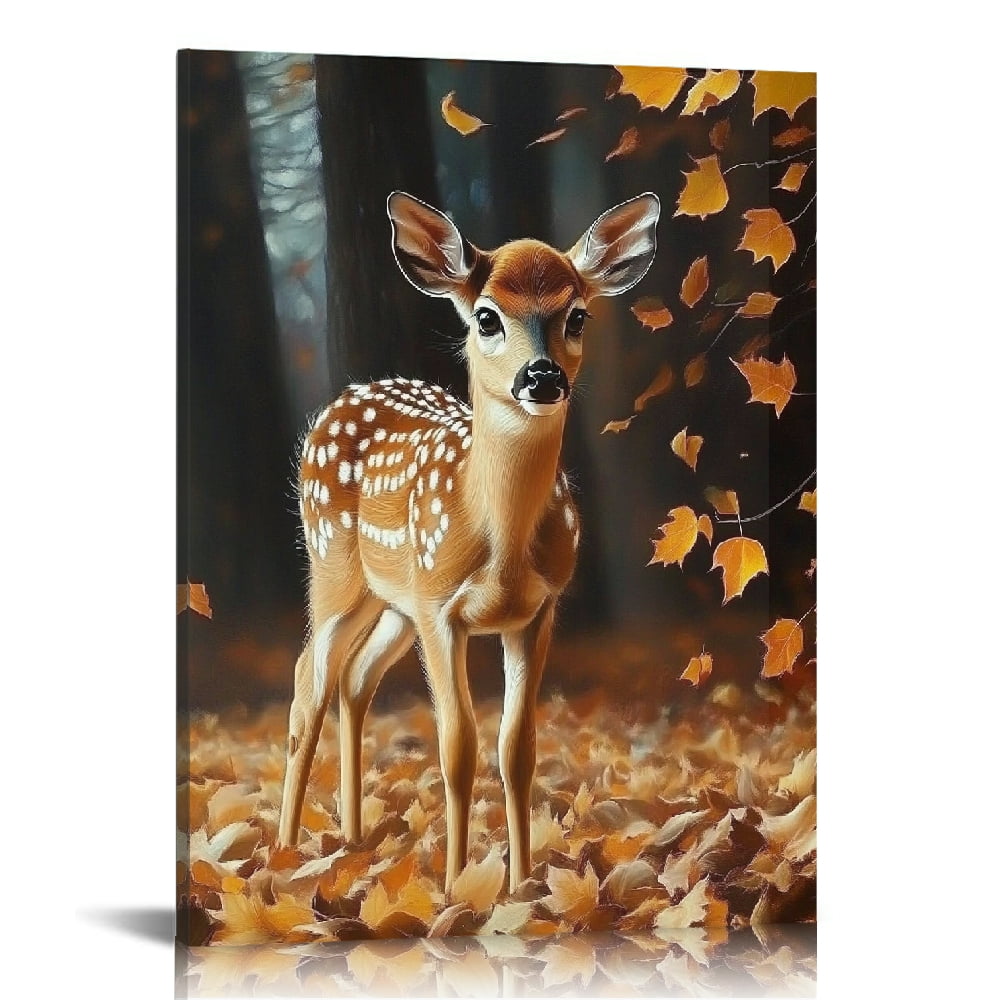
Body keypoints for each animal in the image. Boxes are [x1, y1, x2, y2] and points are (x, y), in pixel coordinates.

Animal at [277, 189, 660, 894]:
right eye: (486, 318)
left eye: (578, 316)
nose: (542, 377)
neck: (498, 542)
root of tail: (340, 398)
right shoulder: (441, 609)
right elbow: (457, 747)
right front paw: (457, 887)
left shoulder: (539, 609)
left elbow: (518, 748)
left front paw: (524, 885)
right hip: (335, 567)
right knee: (308, 680)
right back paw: (288, 852)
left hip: (394, 602)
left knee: (355, 679)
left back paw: (353, 838)